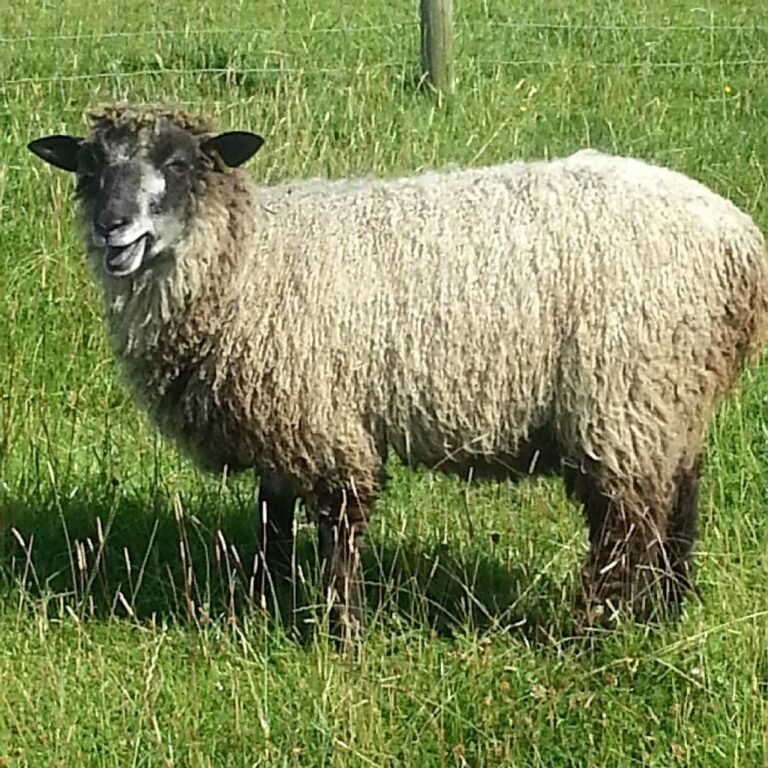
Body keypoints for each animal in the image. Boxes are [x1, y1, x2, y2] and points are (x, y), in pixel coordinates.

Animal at [27, 103, 768, 640]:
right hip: (671, 399)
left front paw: (339, 631)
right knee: (680, 500)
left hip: (621, 394)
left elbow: (340, 523)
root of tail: (738, 243)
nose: (112, 227)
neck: (251, 260)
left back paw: (595, 629)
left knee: (626, 523)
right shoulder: (280, 414)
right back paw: (666, 613)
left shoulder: (322, 415)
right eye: (89, 167)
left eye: (180, 163)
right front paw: (266, 604)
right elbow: (272, 518)